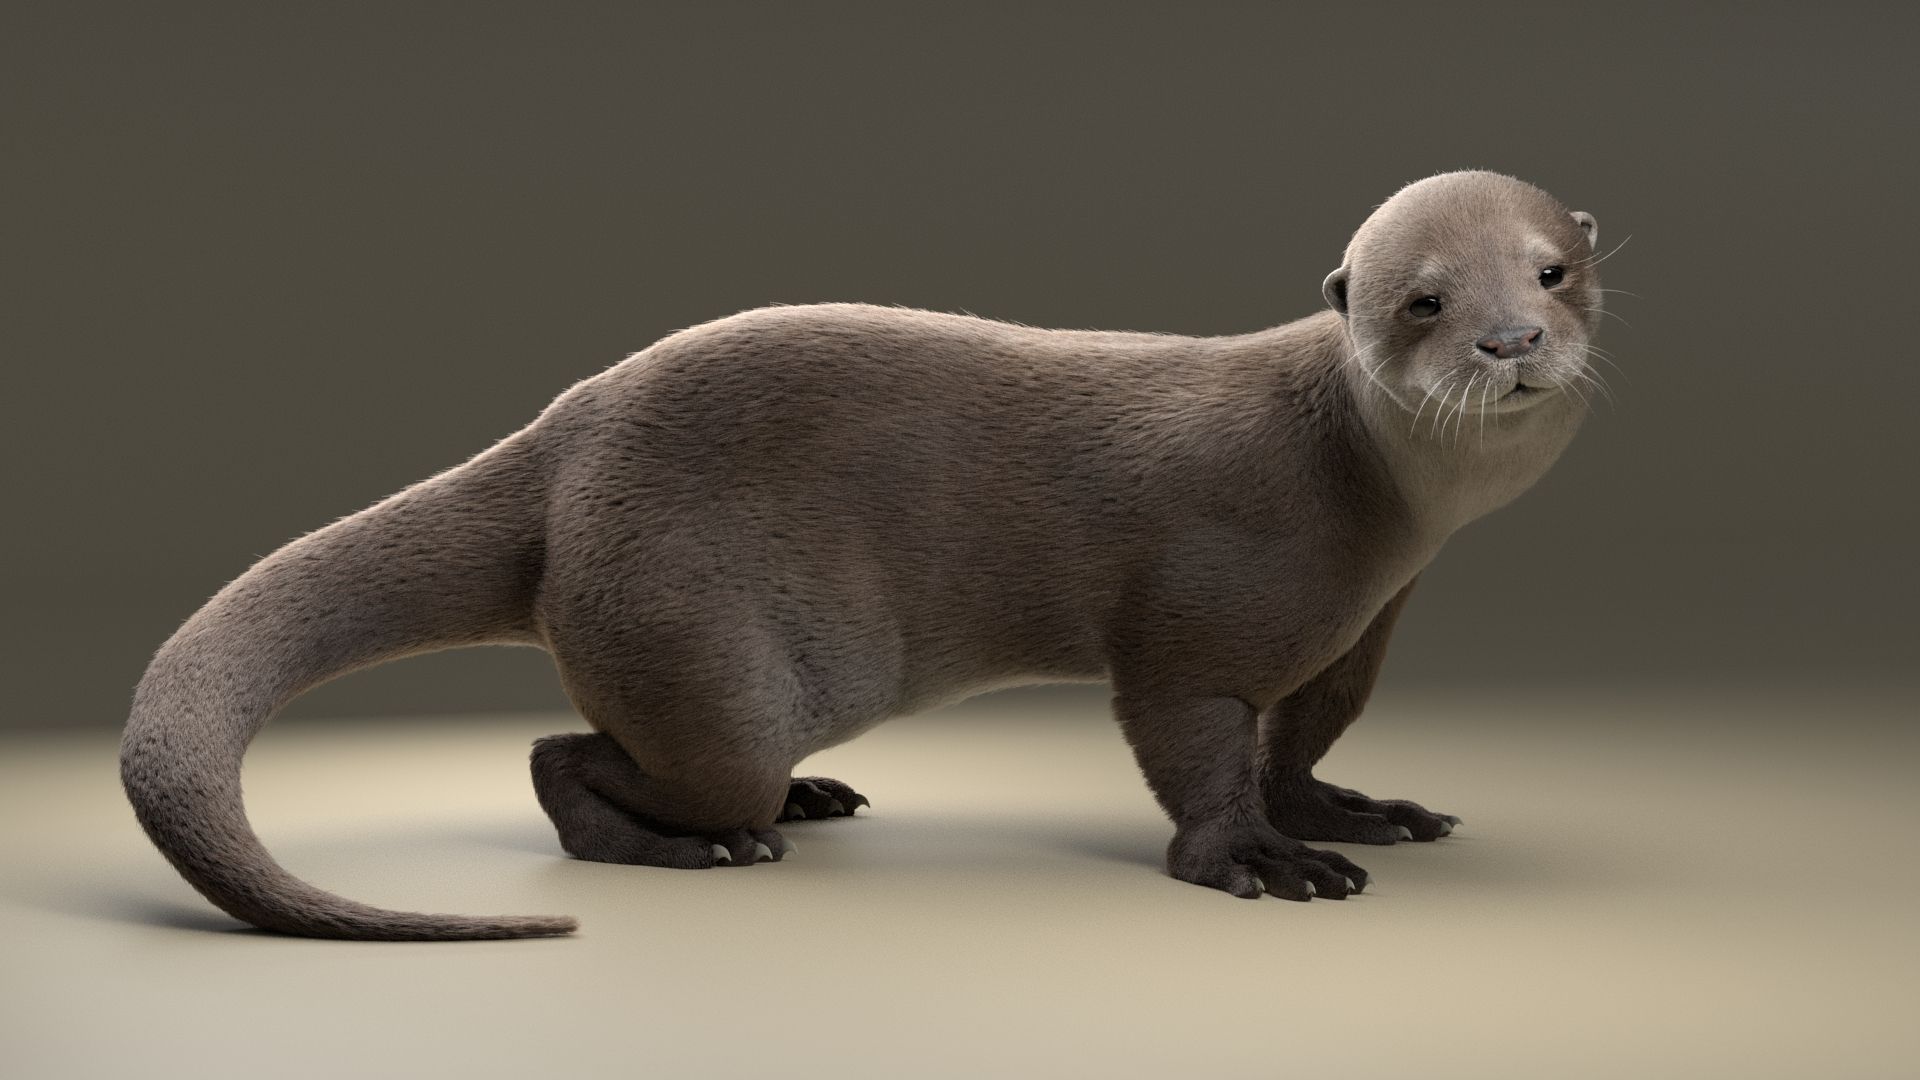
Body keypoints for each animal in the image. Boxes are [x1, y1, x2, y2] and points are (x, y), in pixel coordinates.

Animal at [121, 170, 1609, 940]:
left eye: (1551, 271)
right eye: (1422, 301)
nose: (1509, 340)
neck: (1354, 482)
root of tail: (561, 438)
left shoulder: (1366, 615)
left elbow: (1307, 731)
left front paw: (1351, 810)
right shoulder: (1206, 596)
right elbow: (1193, 732)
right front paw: (1256, 858)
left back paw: (805, 801)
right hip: (696, 629)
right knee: (580, 756)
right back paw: (701, 846)